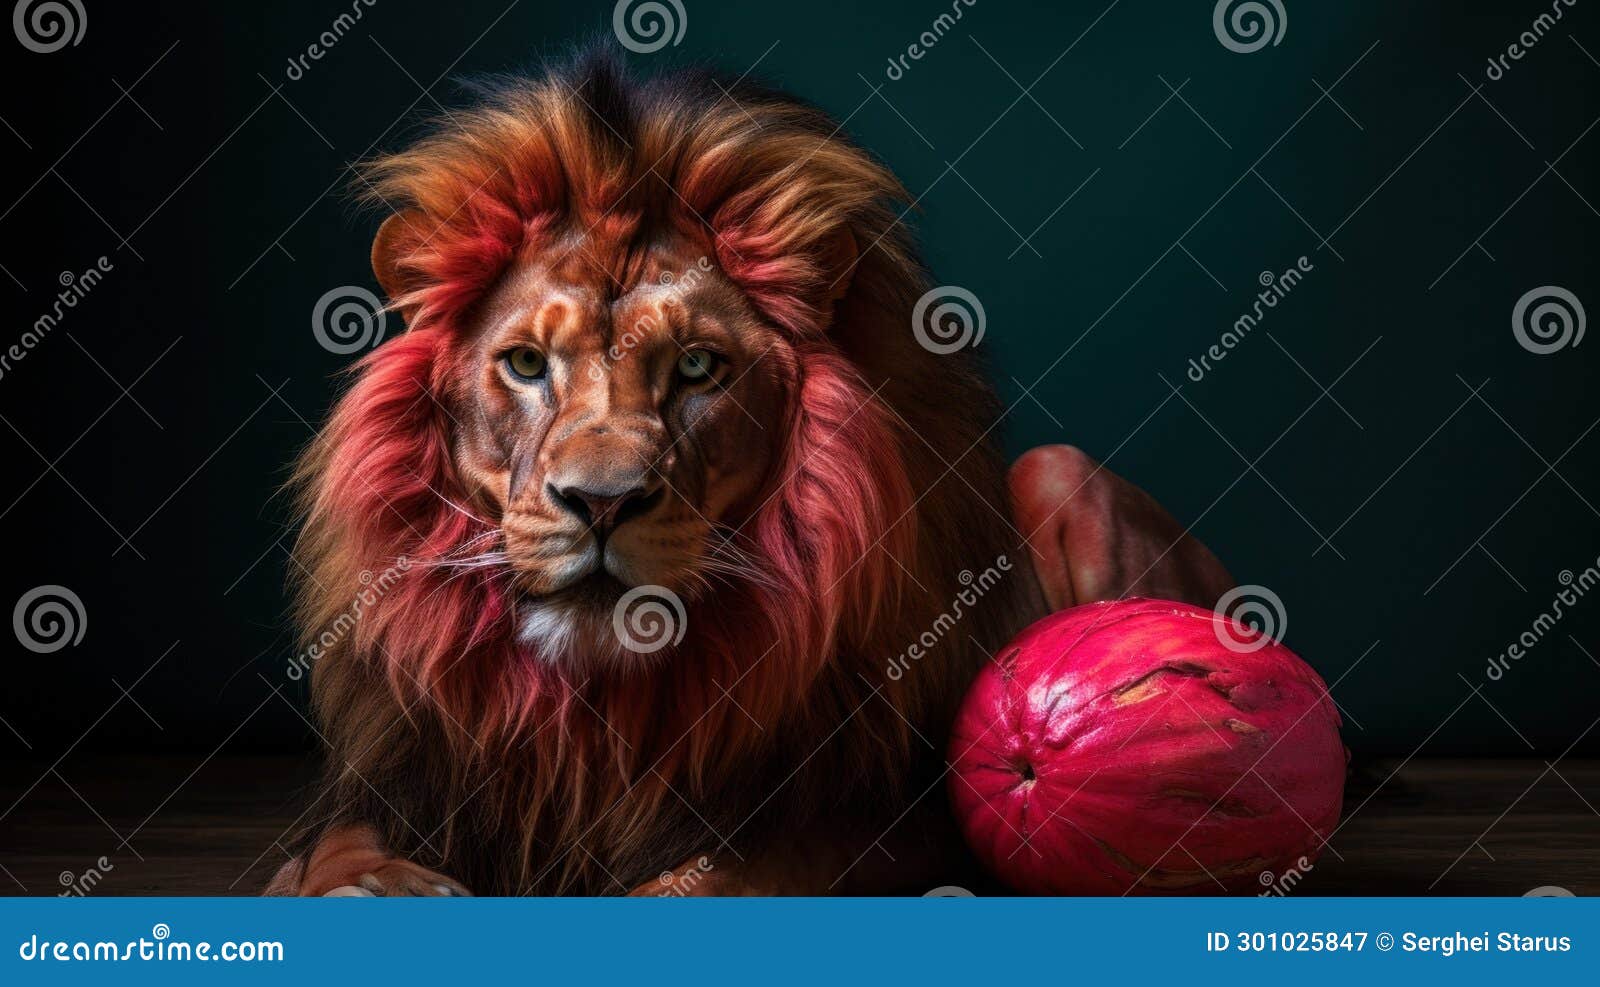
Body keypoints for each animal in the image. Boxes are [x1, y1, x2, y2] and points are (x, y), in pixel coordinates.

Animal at [268, 47, 1231, 896]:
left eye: (698, 366)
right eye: (527, 364)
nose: (601, 502)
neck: (598, 718)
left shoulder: (892, 808)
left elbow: (755, 862)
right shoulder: (404, 775)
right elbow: (327, 850)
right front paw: (369, 886)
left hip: (1058, 474)